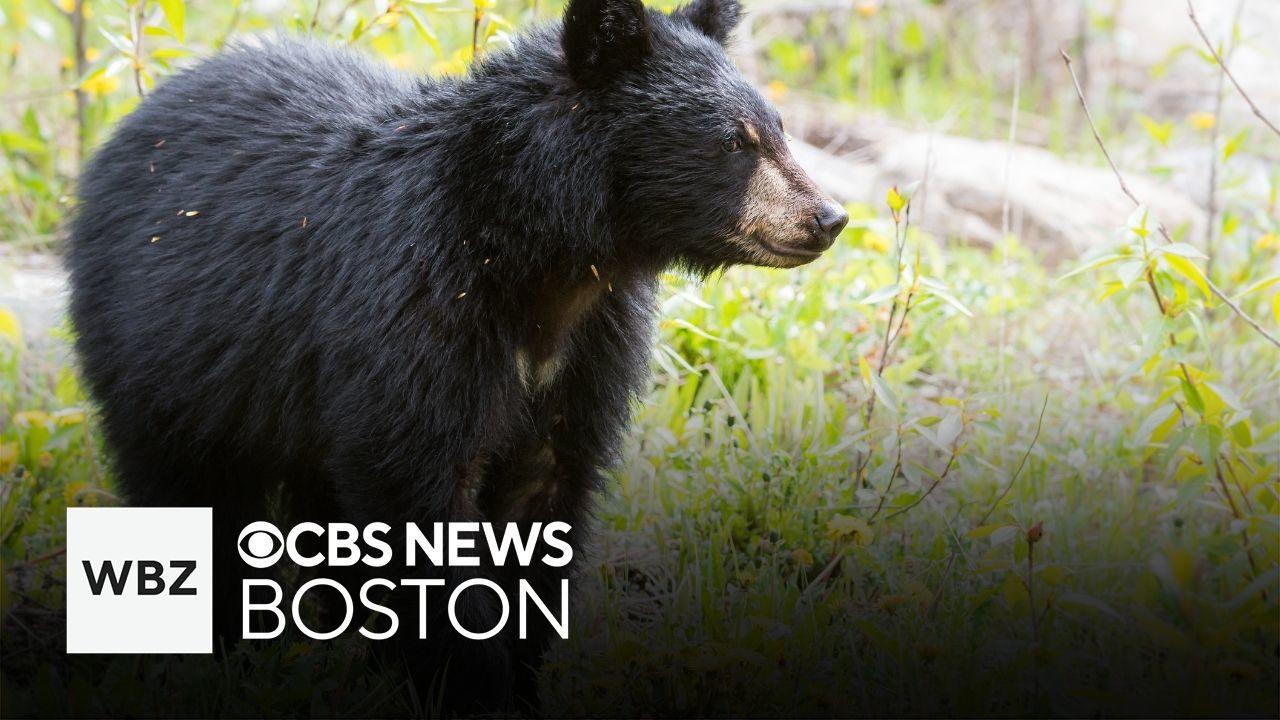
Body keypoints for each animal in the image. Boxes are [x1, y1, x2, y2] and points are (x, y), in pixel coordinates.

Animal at [65, 0, 846, 712]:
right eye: (733, 142)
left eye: (778, 128)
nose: (828, 218)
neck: (545, 259)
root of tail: (133, 122)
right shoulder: (414, 311)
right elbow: (418, 491)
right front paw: (474, 689)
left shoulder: (589, 349)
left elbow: (544, 495)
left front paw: (520, 682)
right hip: (163, 356)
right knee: (189, 493)